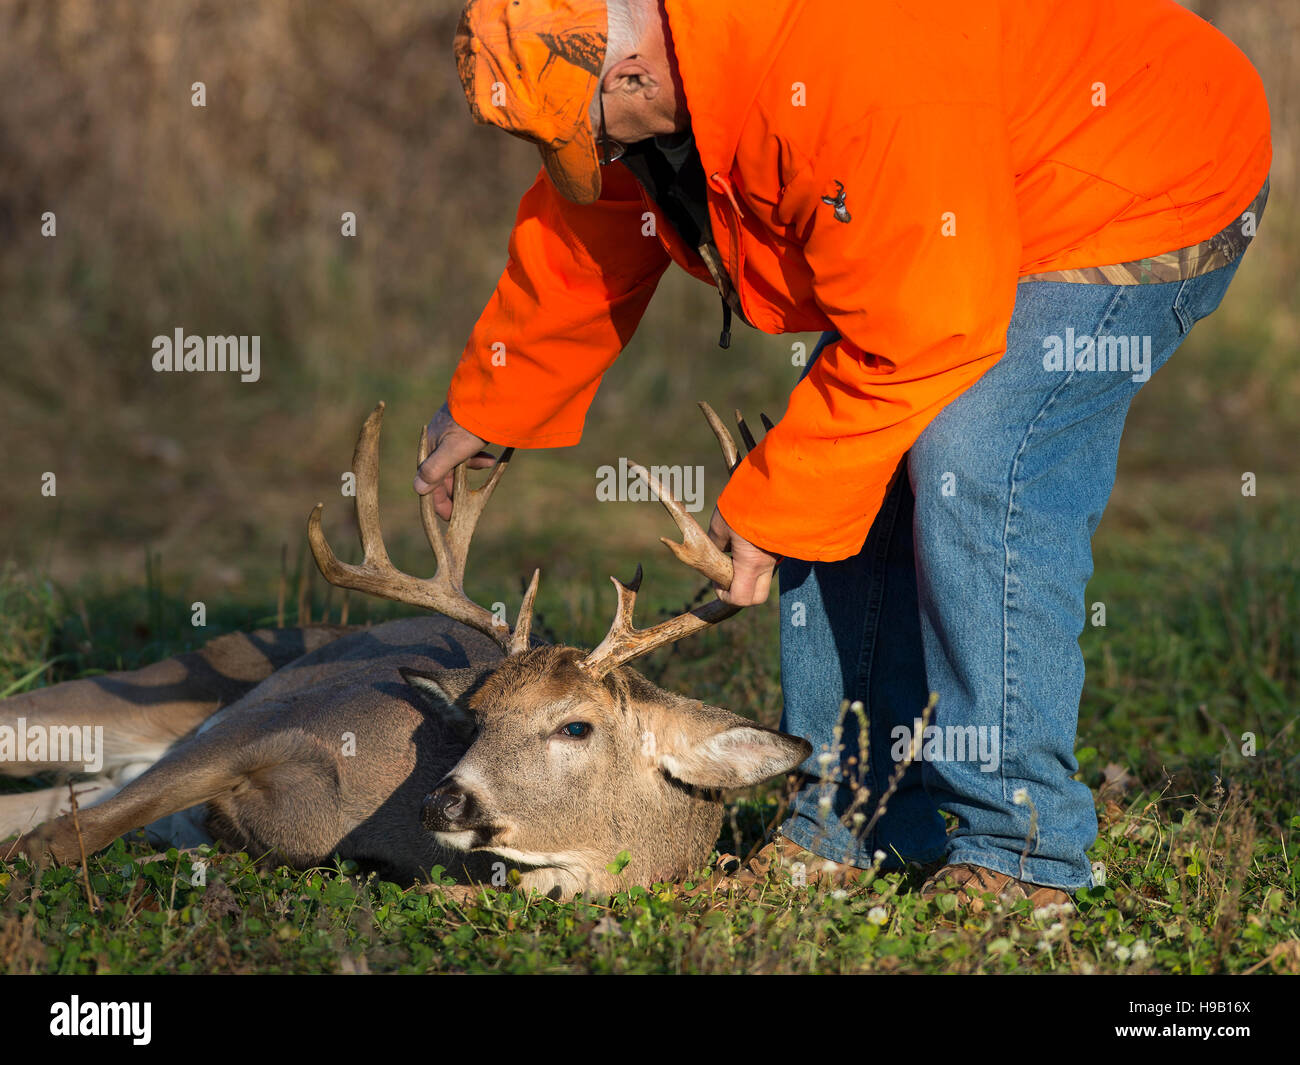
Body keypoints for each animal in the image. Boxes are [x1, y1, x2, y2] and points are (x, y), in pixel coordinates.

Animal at [0, 403, 810, 900]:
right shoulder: (277, 720)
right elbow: (62, 840)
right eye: (477, 717)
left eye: (575, 725)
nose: (442, 798)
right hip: (179, 683)